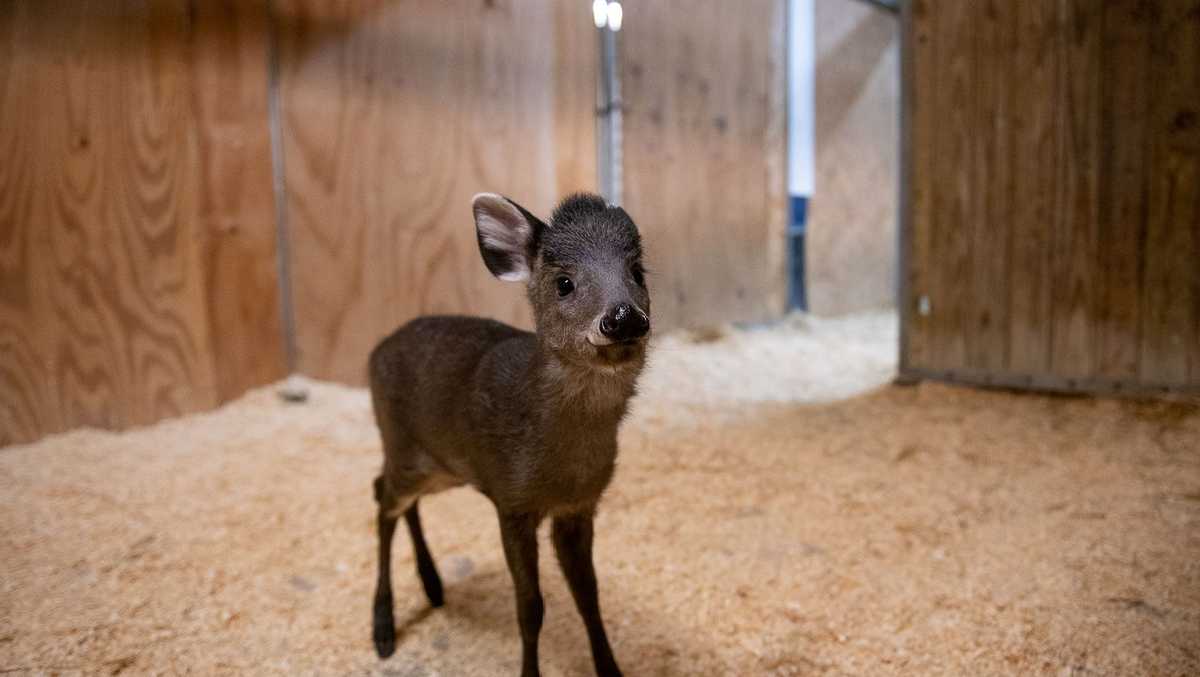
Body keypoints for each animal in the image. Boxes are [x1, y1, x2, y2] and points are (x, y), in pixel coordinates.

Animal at [368, 192, 651, 677]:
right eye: (564, 282)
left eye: (637, 271)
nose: (624, 317)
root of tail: (374, 353)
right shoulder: (512, 501)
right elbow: (530, 606)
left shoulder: (579, 506)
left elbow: (588, 595)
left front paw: (611, 670)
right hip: (400, 443)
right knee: (382, 501)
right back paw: (383, 628)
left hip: (440, 469)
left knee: (387, 492)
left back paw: (433, 586)